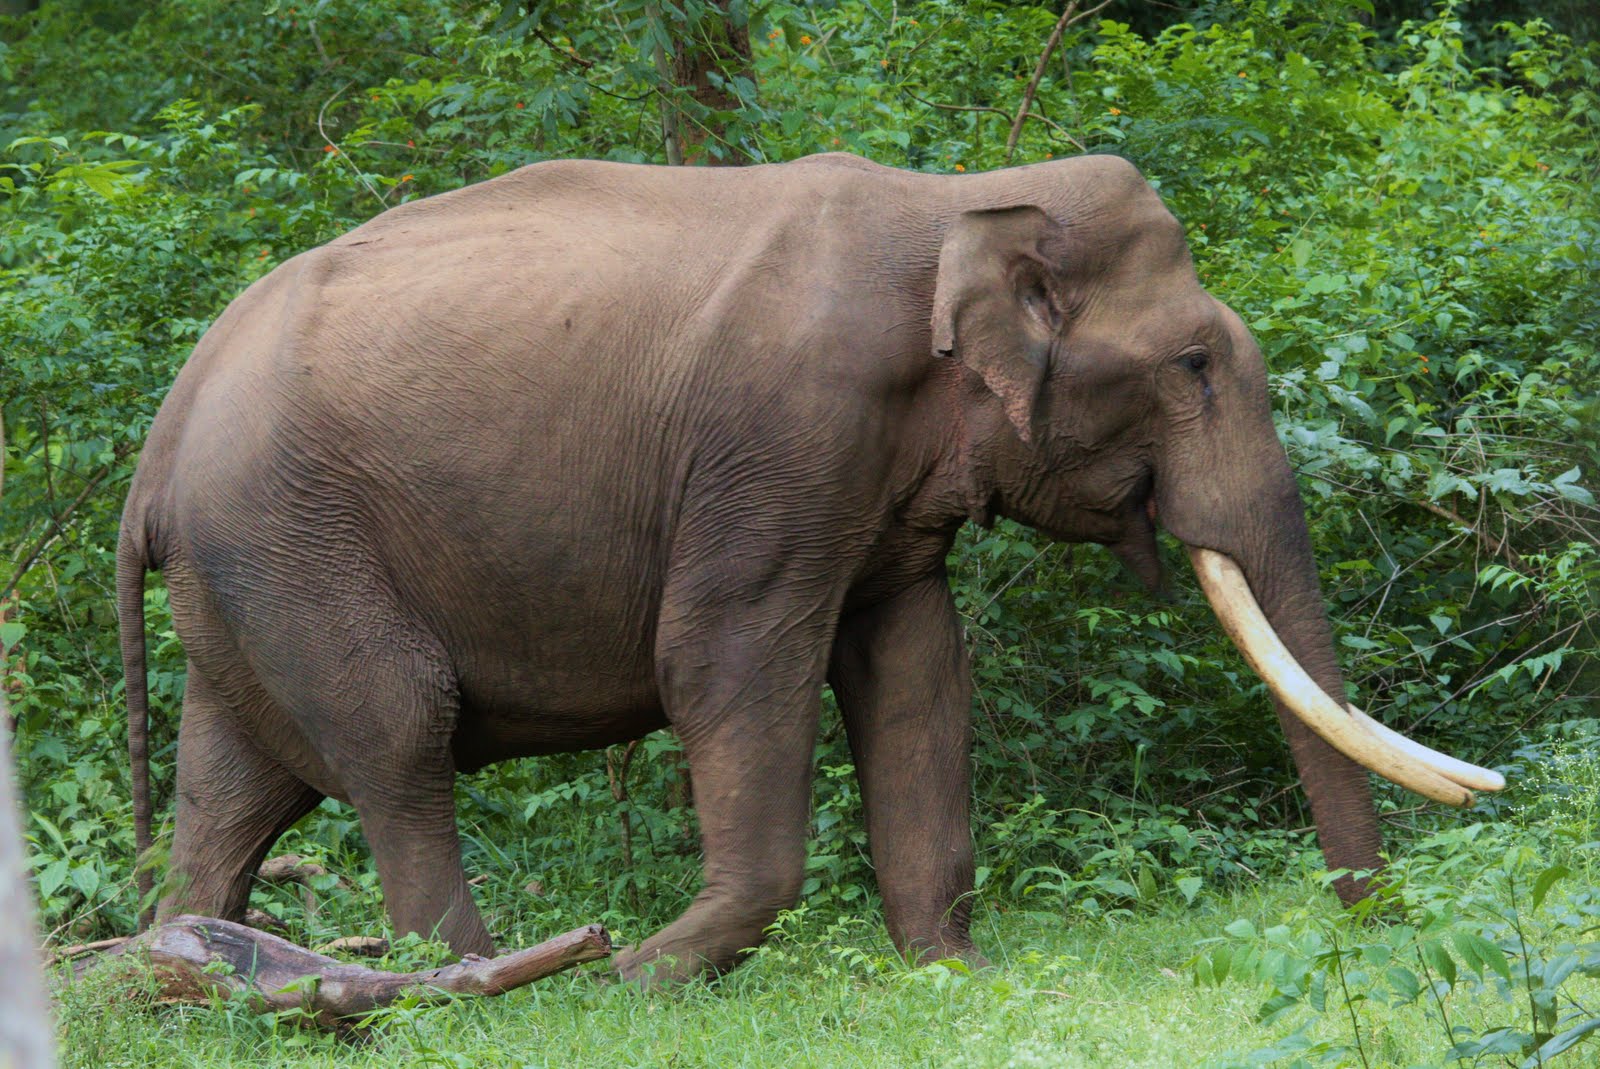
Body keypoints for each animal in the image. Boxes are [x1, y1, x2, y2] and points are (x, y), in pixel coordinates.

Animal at [117, 151, 1503, 983]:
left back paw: (191, 959)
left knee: (232, 784)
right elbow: (722, 660)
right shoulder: (782, 438)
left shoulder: (880, 490)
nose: (1367, 922)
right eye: (1198, 367)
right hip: (295, 542)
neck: (958, 199)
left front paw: (950, 973)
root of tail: (158, 443)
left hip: (244, 579)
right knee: (401, 735)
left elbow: (913, 665)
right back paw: (496, 980)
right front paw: (644, 976)